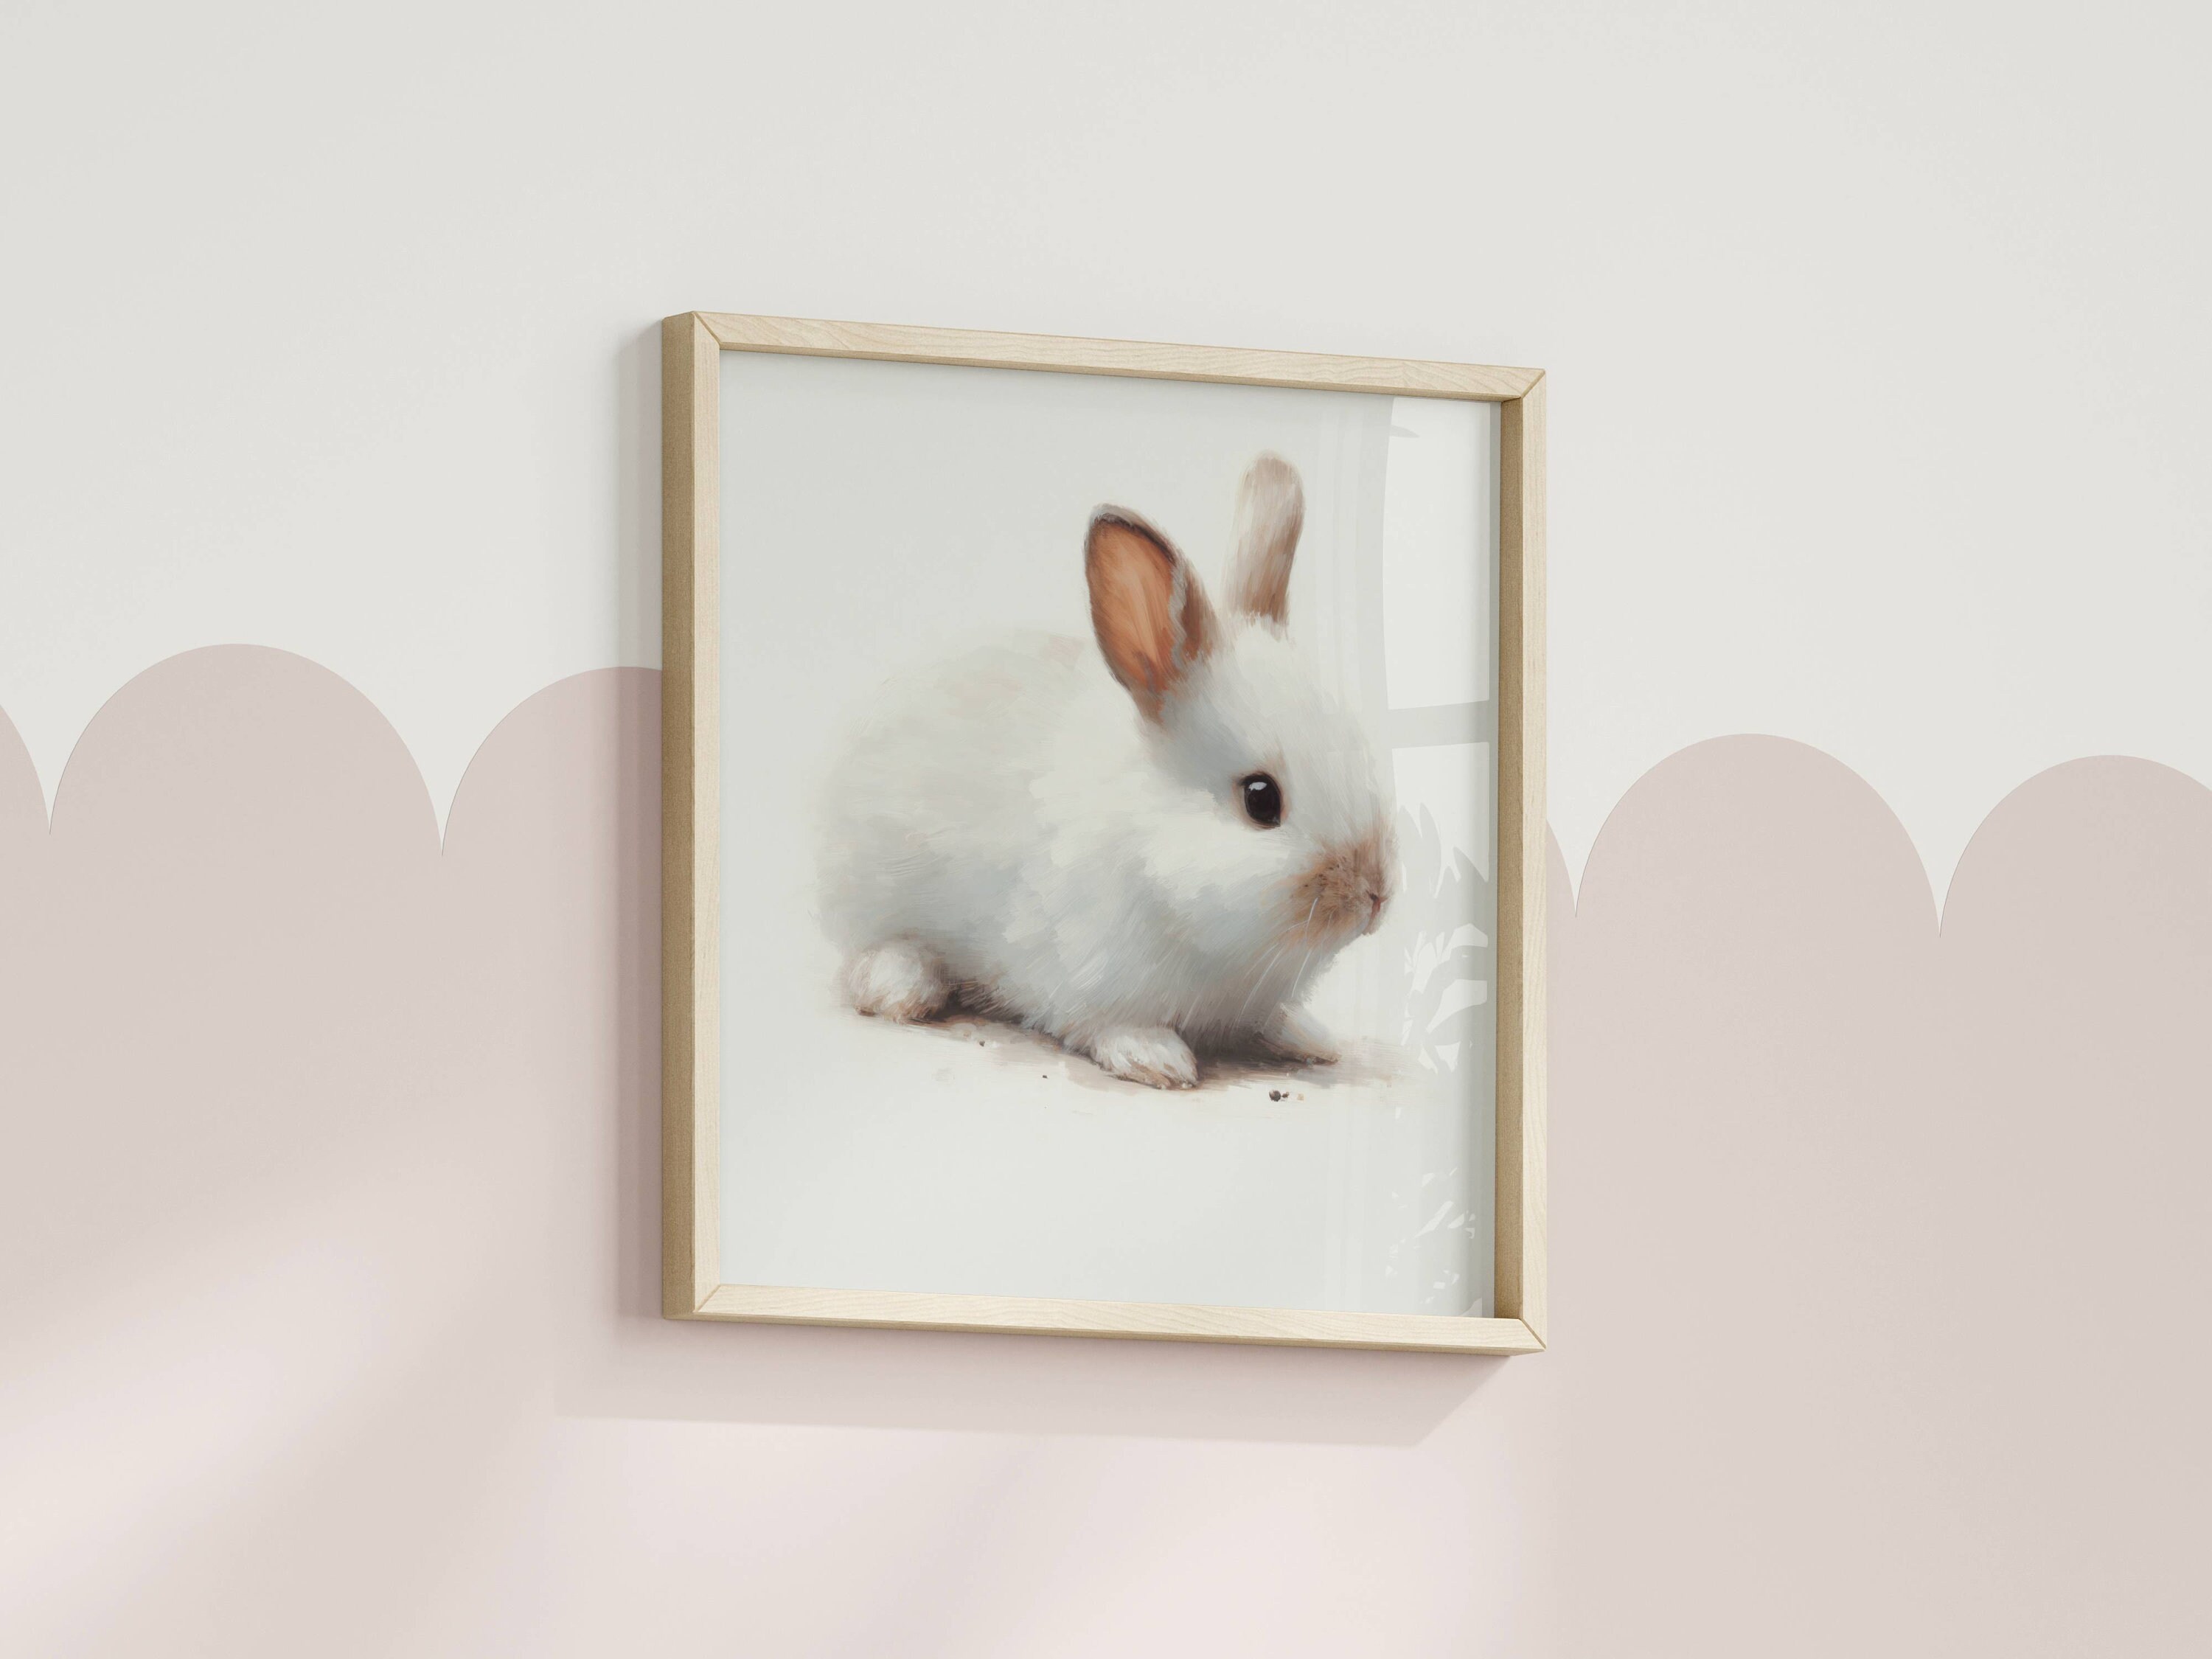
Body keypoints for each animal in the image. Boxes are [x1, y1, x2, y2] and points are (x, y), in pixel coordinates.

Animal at [816, 454, 1395, 1089]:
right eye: (1261, 799)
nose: (1375, 895)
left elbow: (1273, 1020)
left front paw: (1311, 1039)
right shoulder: (1085, 974)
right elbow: (1109, 1024)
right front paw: (1158, 1060)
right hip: (873, 898)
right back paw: (903, 988)